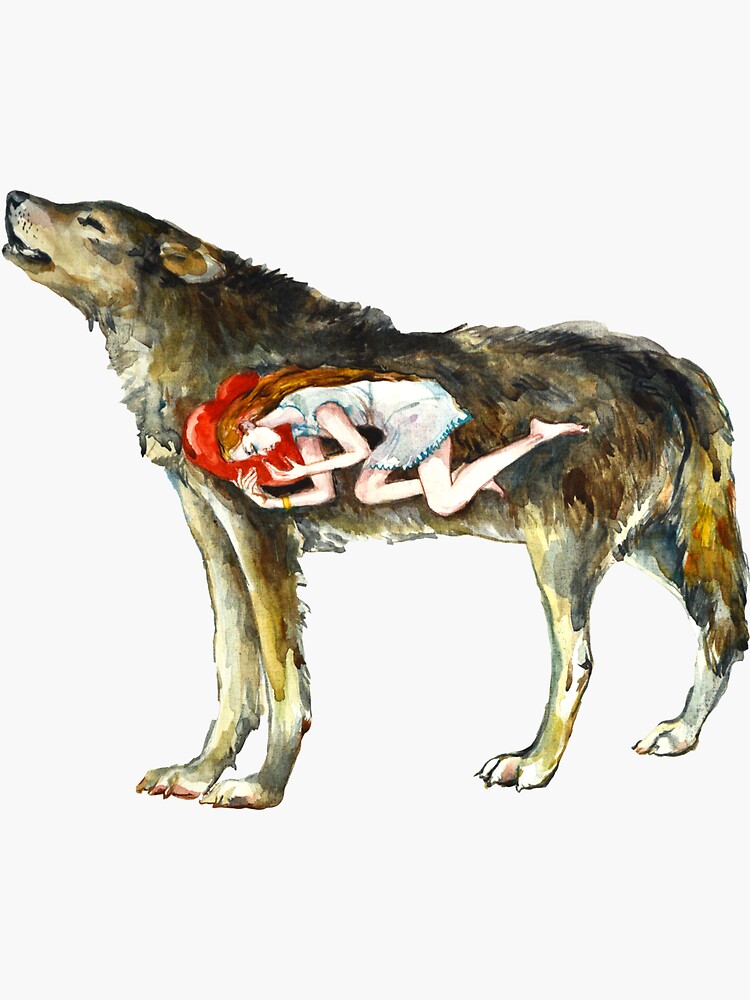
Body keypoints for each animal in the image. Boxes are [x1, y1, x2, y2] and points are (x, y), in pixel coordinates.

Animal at [4, 190, 747, 807]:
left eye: (90, 221)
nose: (14, 194)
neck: (199, 334)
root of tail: (669, 364)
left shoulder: (264, 544)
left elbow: (282, 681)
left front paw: (263, 787)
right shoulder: (221, 547)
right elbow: (234, 678)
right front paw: (198, 772)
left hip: (563, 558)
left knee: (582, 662)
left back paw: (535, 764)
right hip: (655, 549)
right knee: (720, 631)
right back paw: (681, 735)